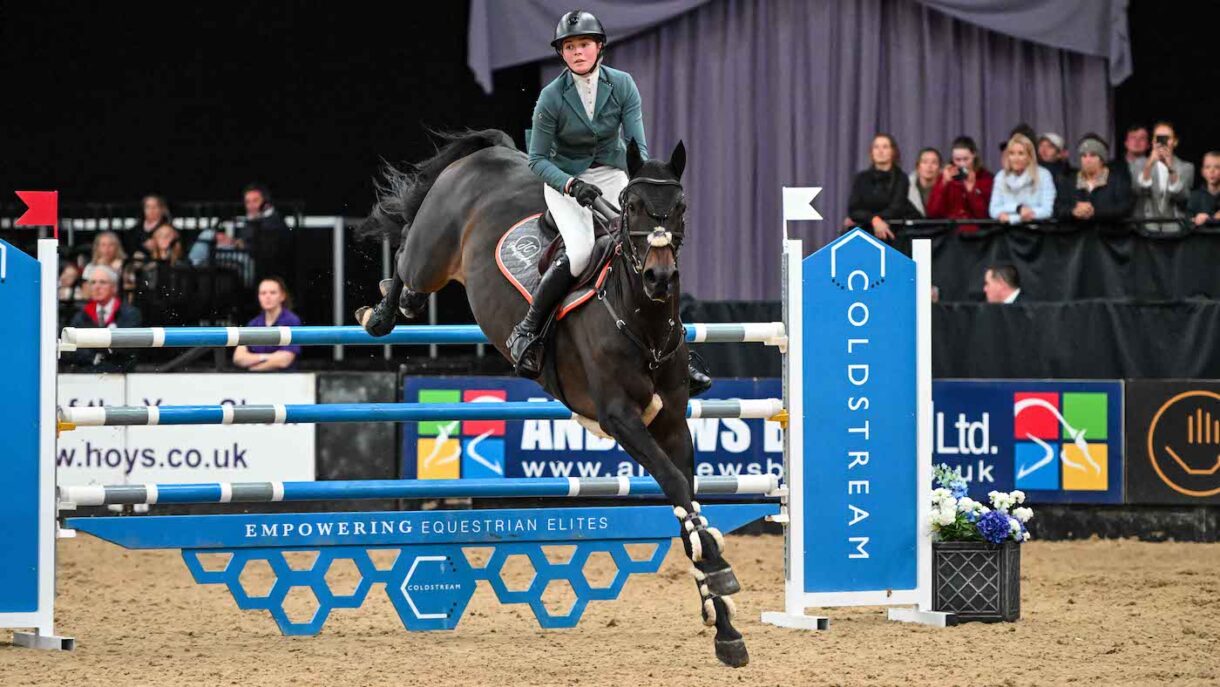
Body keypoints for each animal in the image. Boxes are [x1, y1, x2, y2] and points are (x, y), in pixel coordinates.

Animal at [355, 129, 750, 667]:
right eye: (632, 206)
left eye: (681, 207)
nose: (659, 278)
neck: (640, 320)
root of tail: (492, 153)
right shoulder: (619, 418)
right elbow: (674, 484)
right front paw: (720, 577)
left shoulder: (671, 422)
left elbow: (685, 498)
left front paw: (723, 621)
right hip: (429, 256)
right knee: (405, 268)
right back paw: (378, 313)